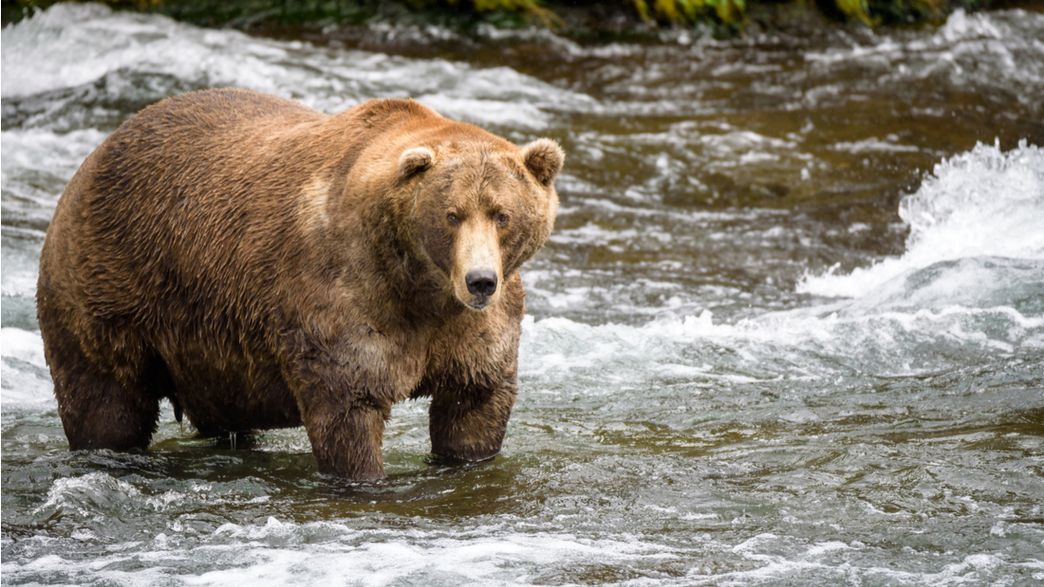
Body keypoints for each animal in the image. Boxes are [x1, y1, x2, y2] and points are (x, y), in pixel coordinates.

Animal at [36, 88, 563, 480]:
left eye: (502, 214)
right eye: (452, 215)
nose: (480, 281)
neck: (419, 286)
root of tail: (93, 157)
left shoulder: (473, 330)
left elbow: (474, 404)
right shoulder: (344, 294)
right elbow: (348, 407)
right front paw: (364, 476)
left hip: (206, 346)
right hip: (109, 286)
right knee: (106, 401)